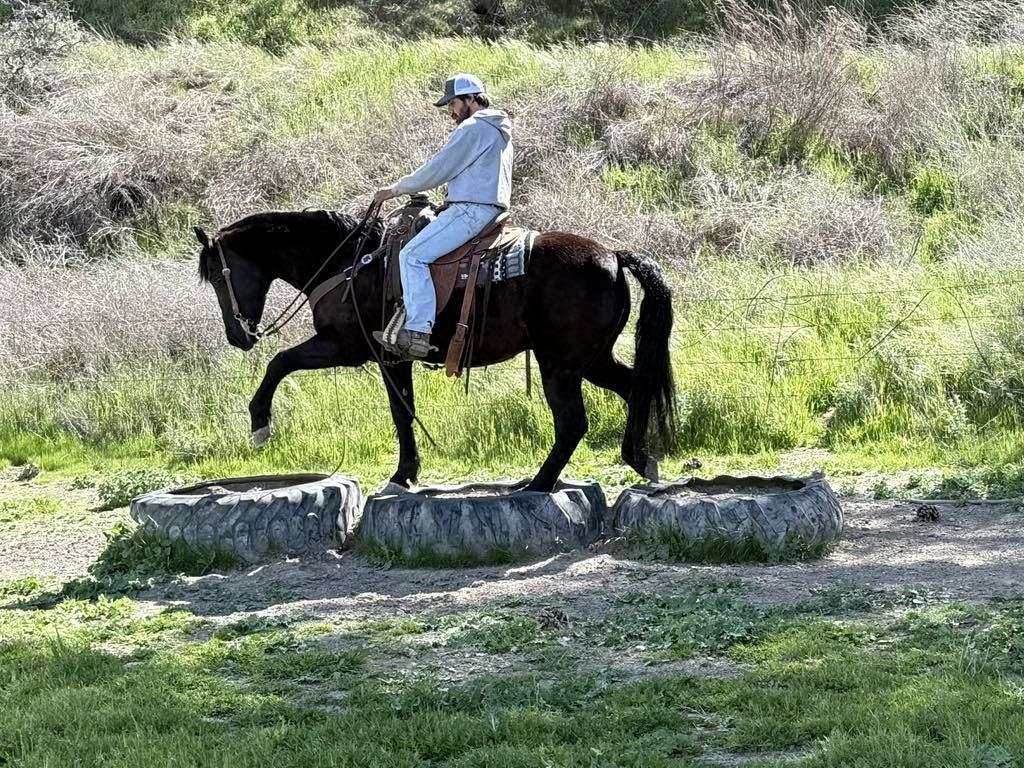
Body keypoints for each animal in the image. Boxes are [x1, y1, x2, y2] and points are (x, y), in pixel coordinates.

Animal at [193, 207, 677, 493]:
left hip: (560, 365)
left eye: (217, 276)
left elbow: (281, 363)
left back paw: (538, 484)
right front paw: (406, 473)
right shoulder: (392, 359)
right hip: (591, 360)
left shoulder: (345, 347)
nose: (238, 337)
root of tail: (613, 256)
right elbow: (403, 411)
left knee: (574, 422)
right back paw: (640, 459)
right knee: (636, 387)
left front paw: (260, 423)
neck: (347, 262)